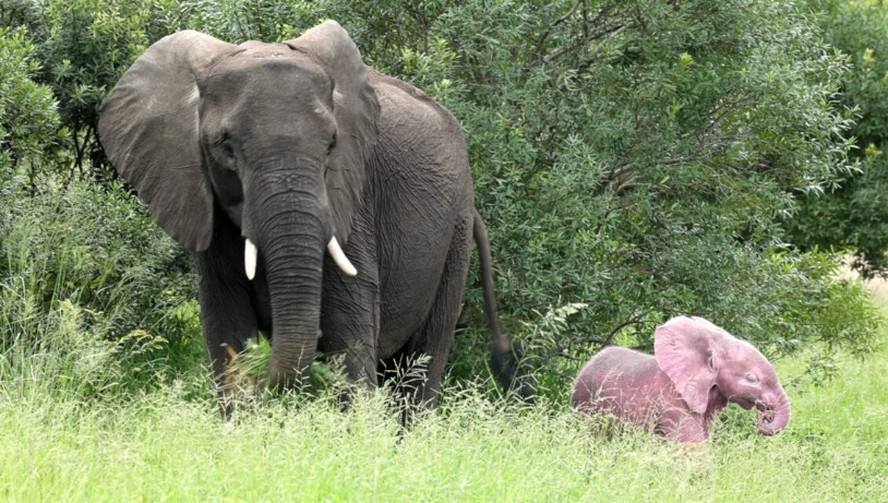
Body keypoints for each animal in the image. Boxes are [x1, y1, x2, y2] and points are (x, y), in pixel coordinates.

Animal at [98, 20, 525, 411]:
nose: (268, 375)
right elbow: (227, 333)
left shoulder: (352, 200)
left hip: (454, 231)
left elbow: (349, 341)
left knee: (421, 365)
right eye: (225, 146)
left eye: (332, 143)